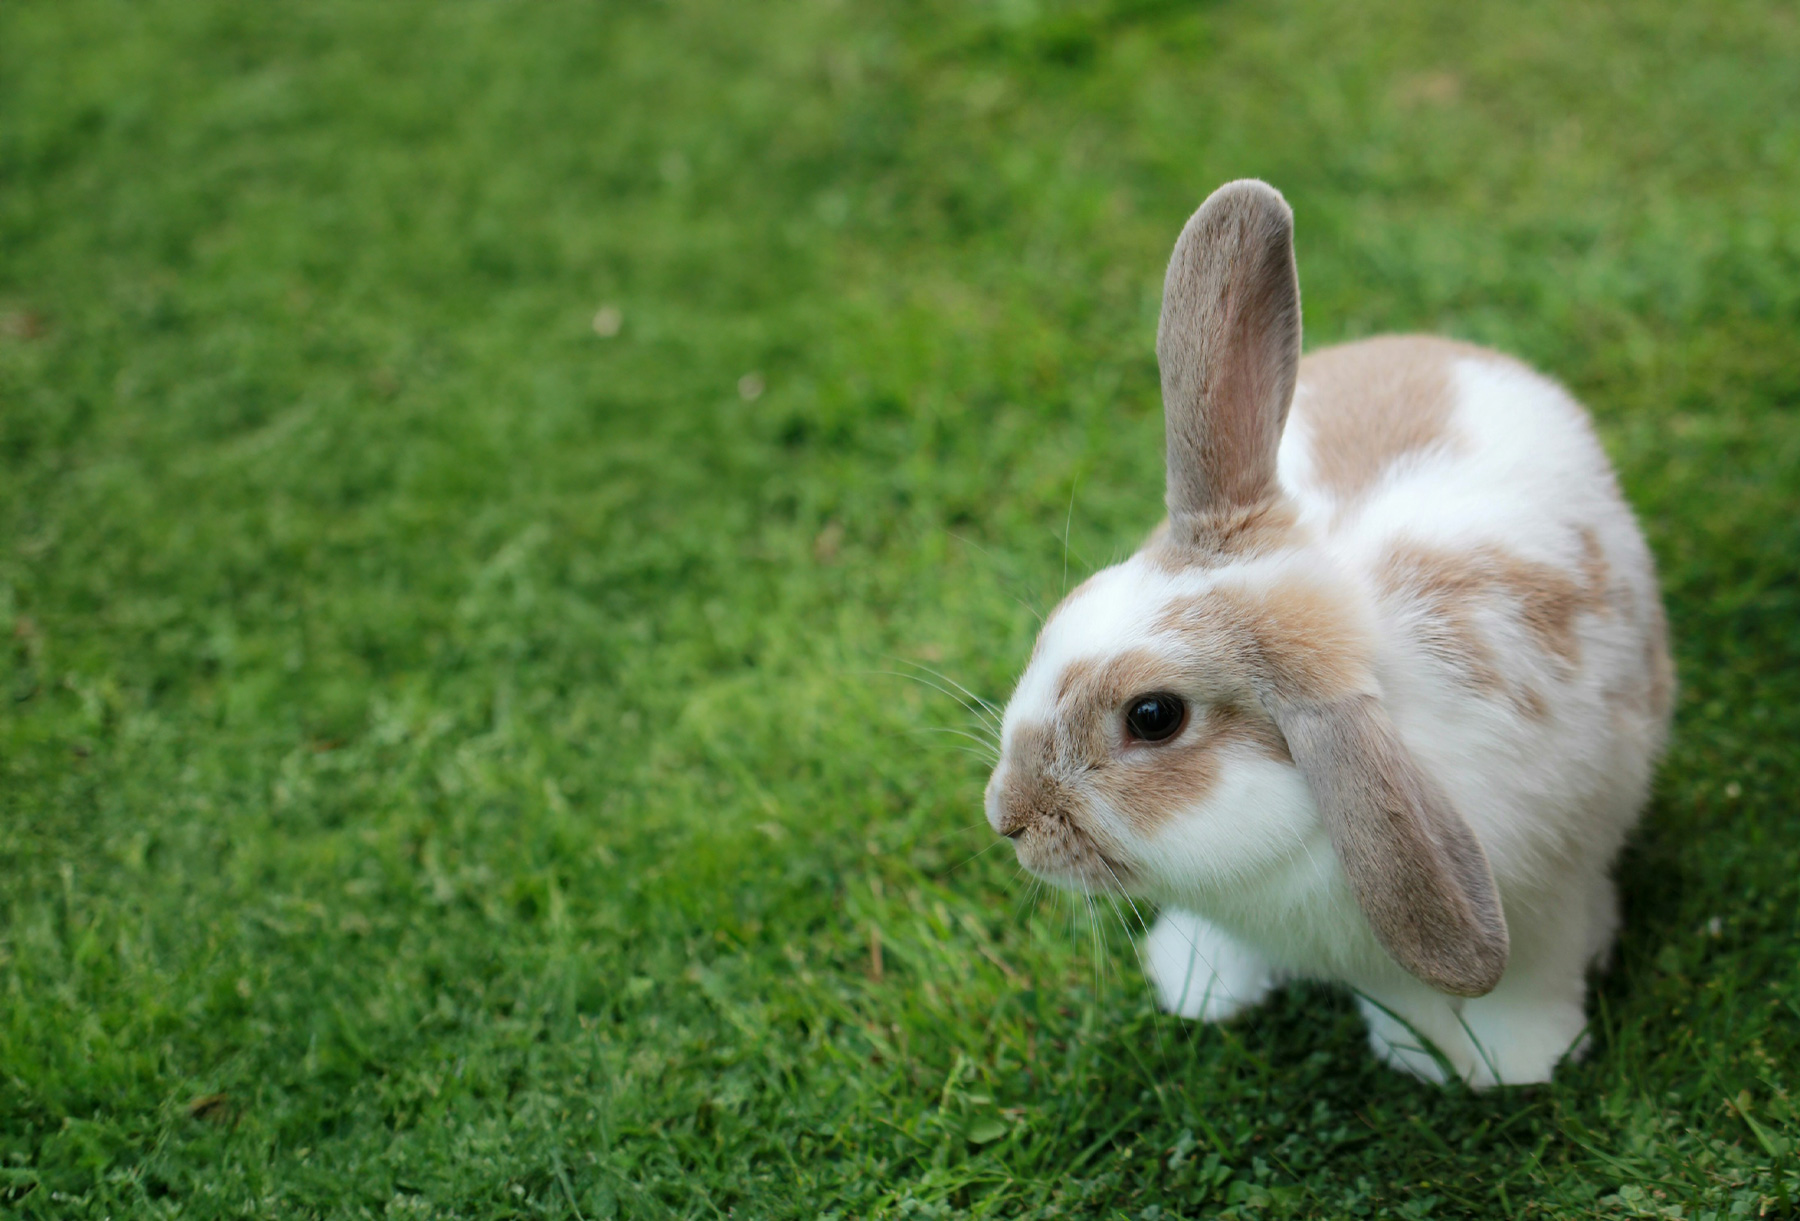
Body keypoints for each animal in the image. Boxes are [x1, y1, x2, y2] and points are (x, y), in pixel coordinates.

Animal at [983, 180, 1674, 1087]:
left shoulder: (1542, 897)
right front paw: (1203, 984)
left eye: (1154, 717)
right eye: (1069, 611)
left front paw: (1516, 1060)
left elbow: (1526, 979)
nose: (1007, 817)